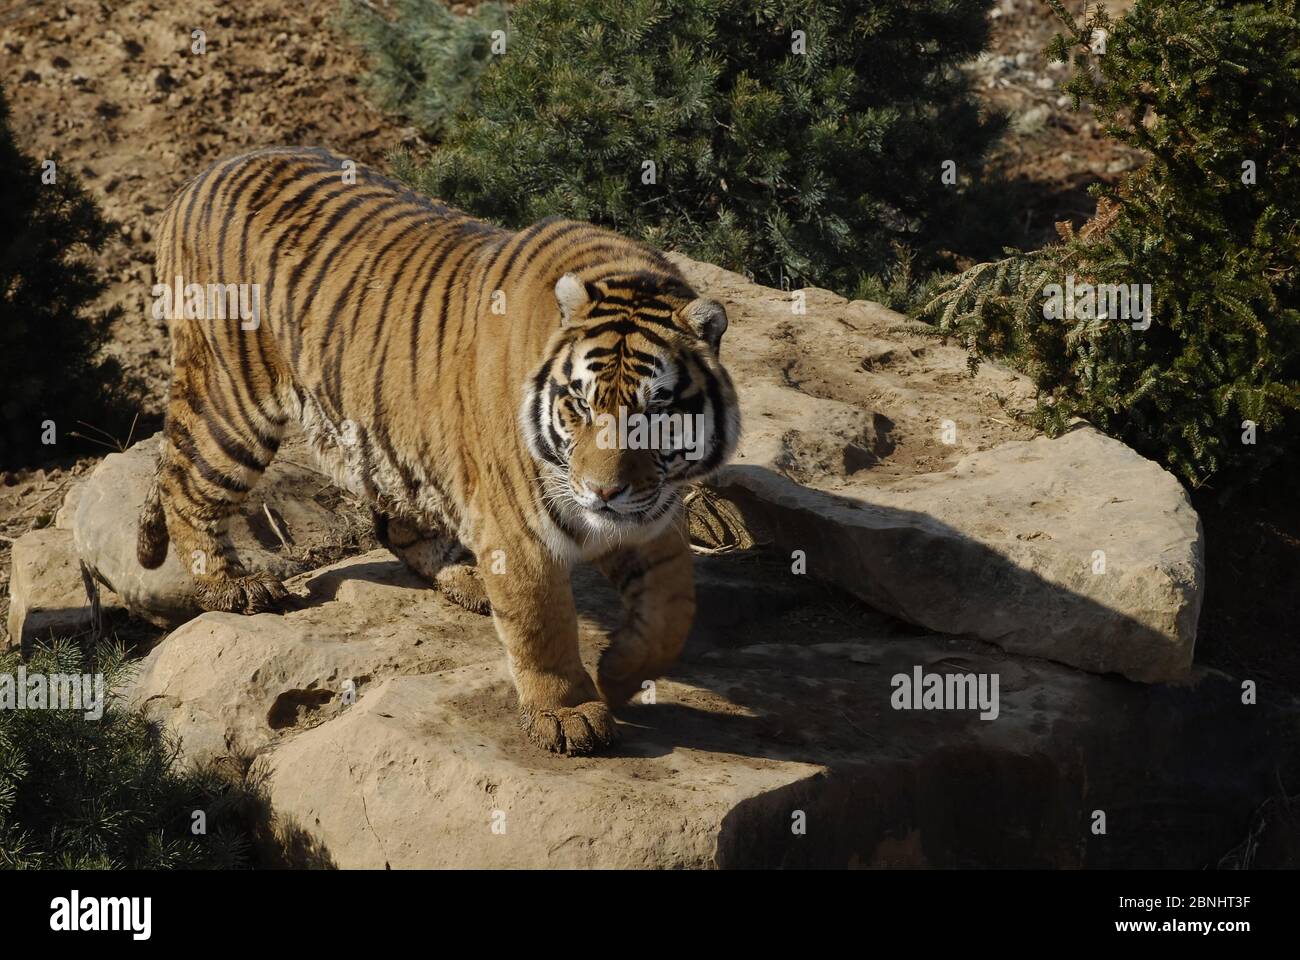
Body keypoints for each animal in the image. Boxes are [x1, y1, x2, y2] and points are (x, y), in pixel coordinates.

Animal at [135, 146, 740, 755]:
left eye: (655, 412)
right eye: (581, 405)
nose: (604, 491)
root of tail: (205, 174)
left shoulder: (651, 516)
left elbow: (672, 609)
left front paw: (619, 674)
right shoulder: (521, 527)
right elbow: (541, 621)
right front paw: (567, 714)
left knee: (400, 522)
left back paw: (468, 576)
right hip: (231, 402)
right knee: (183, 483)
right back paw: (232, 586)